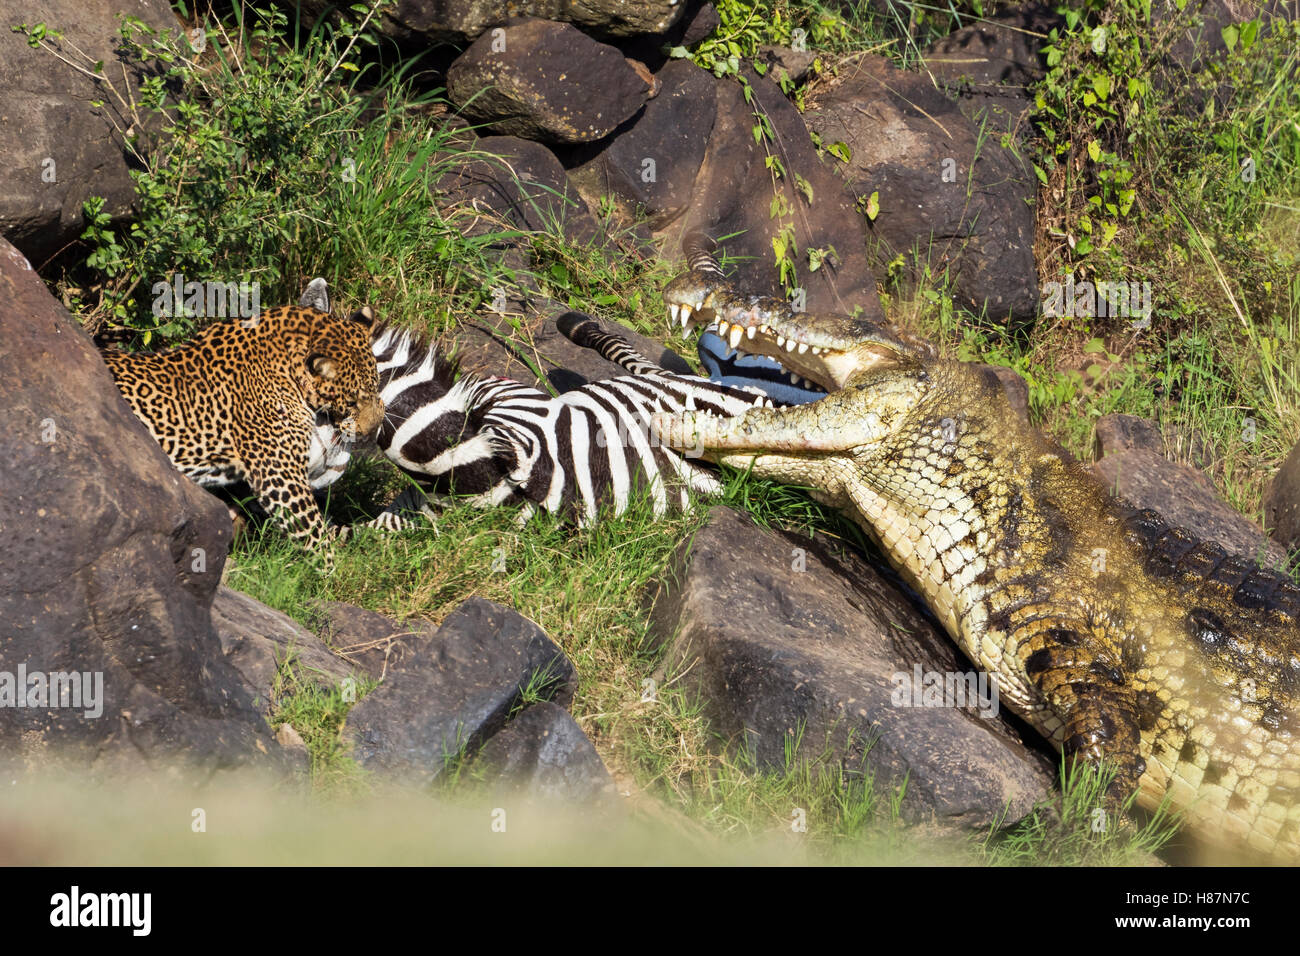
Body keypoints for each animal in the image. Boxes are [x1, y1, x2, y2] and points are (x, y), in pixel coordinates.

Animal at [100, 297, 384, 567]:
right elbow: (315, 534)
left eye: (377, 387)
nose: (373, 430)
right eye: (352, 402)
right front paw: (331, 576)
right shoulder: (279, 474)